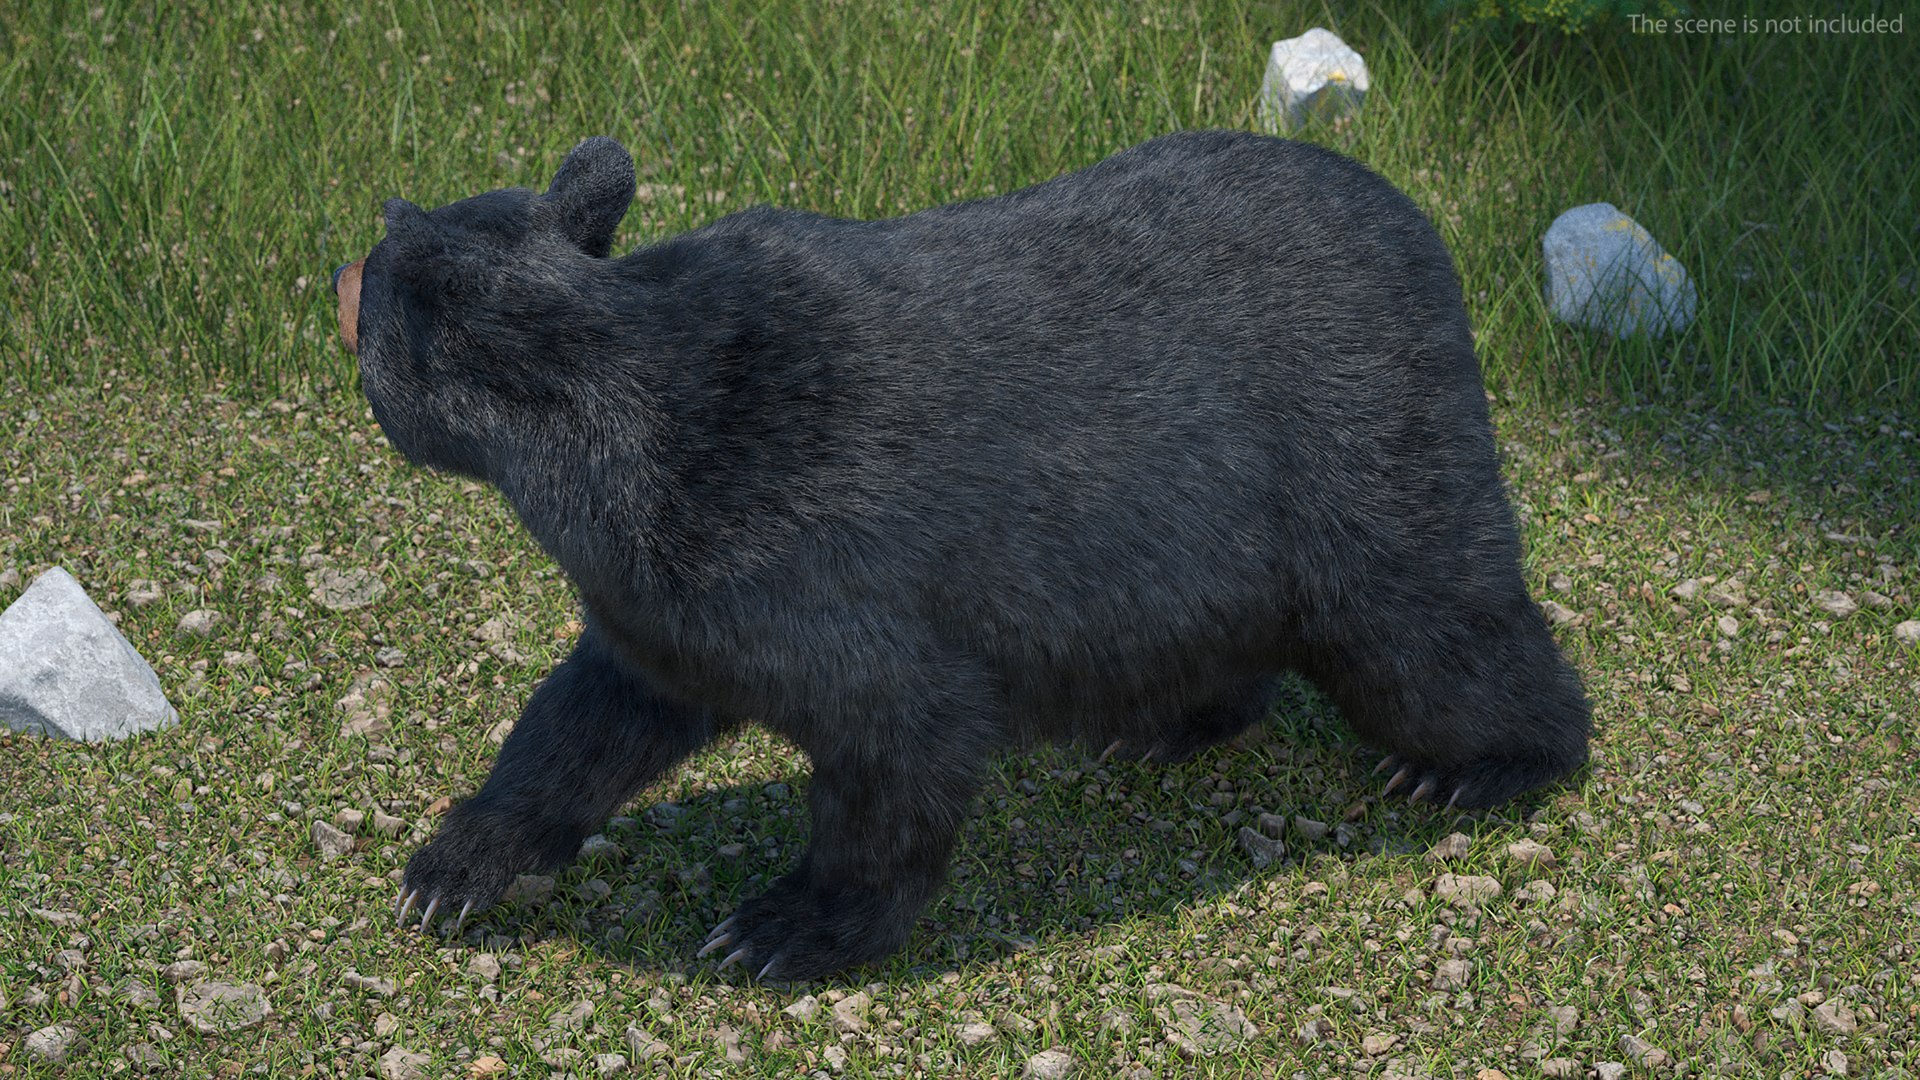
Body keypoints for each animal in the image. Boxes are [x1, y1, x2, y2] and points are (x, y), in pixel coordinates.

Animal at [333, 131, 1589, 981]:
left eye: (374, 278)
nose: (344, 255)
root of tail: (1419, 227)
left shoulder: (805, 557)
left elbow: (903, 740)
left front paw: (783, 927)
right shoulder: (667, 599)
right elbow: (592, 715)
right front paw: (453, 867)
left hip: (1364, 463)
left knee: (1433, 636)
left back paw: (1483, 762)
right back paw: (1164, 726)